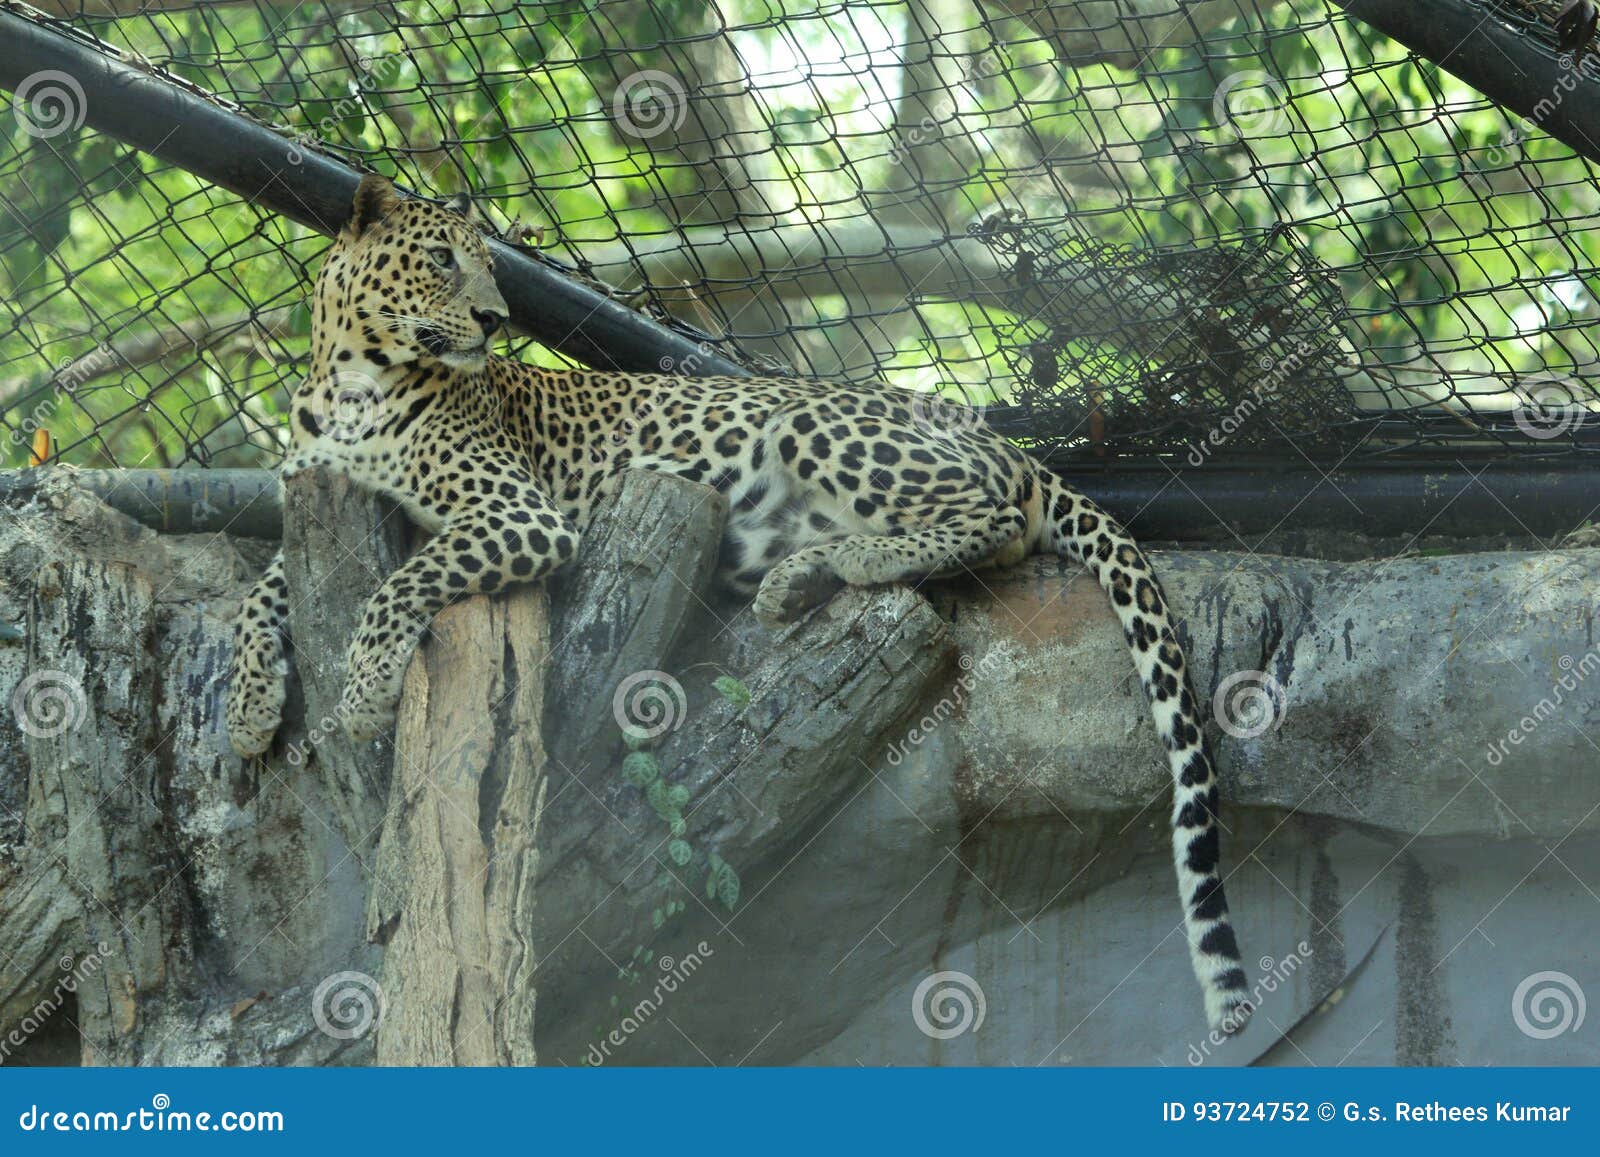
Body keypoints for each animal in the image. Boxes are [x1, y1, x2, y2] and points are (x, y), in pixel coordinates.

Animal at [224, 173, 1253, 1034]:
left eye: (486, 263)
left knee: (992, 519)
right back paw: (804, 575)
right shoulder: (322, 492)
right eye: (442, 257)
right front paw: (247, 713)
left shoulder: (520, 513)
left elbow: (400, 582)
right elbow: (256, 596)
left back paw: (838, 563)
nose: (492, 317)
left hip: (812, 423)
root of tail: (1014, 446)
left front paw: (362, 695)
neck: (349, 377)